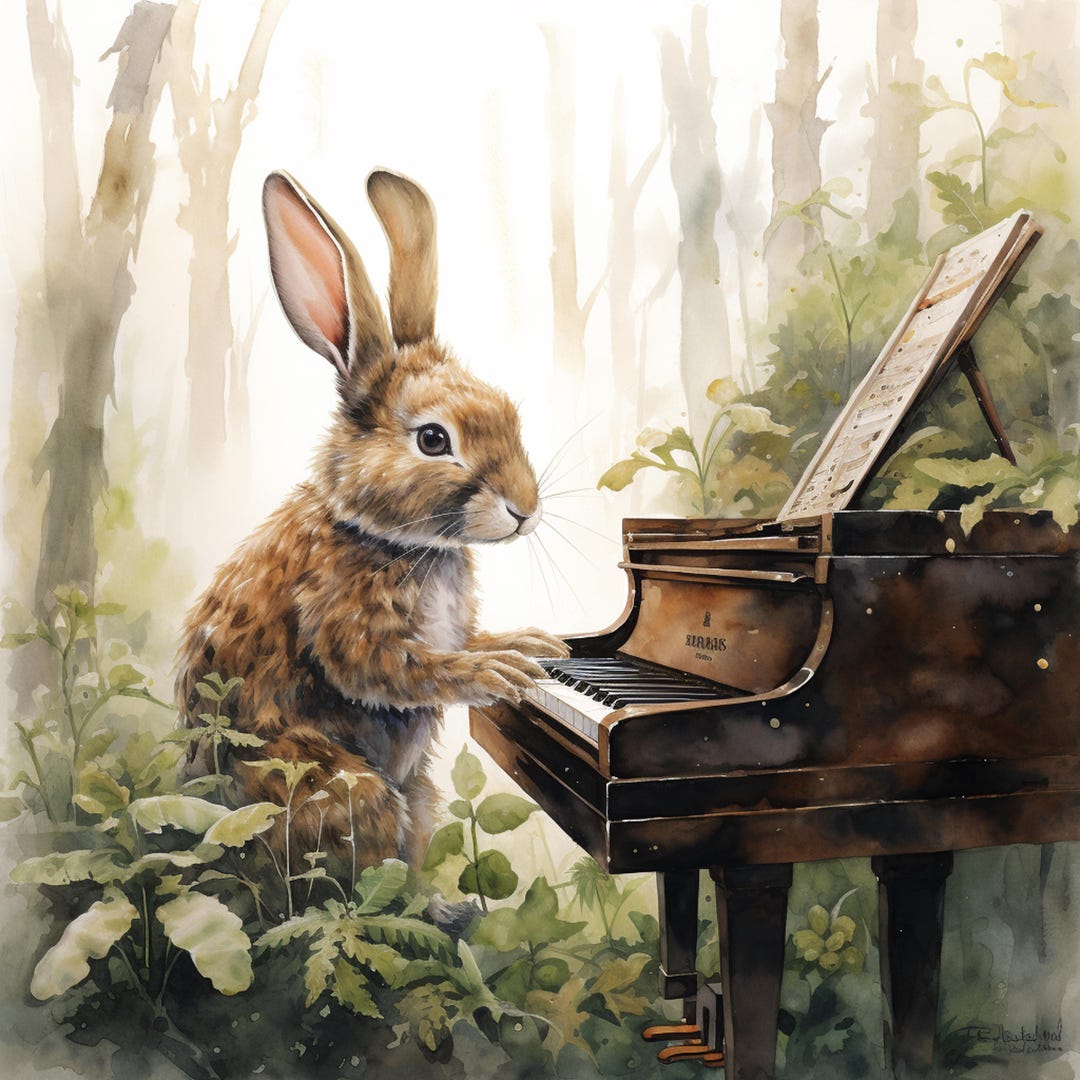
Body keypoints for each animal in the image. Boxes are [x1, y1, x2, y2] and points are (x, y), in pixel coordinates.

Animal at [174, 168, 568, 883]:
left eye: (509, 411)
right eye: (434, 439)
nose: (524, 509)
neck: (387, 537)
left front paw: (531, 646)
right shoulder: (343, 618)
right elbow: (395, 668)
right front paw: (495, 670)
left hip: (419, 791)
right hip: (345, 791)